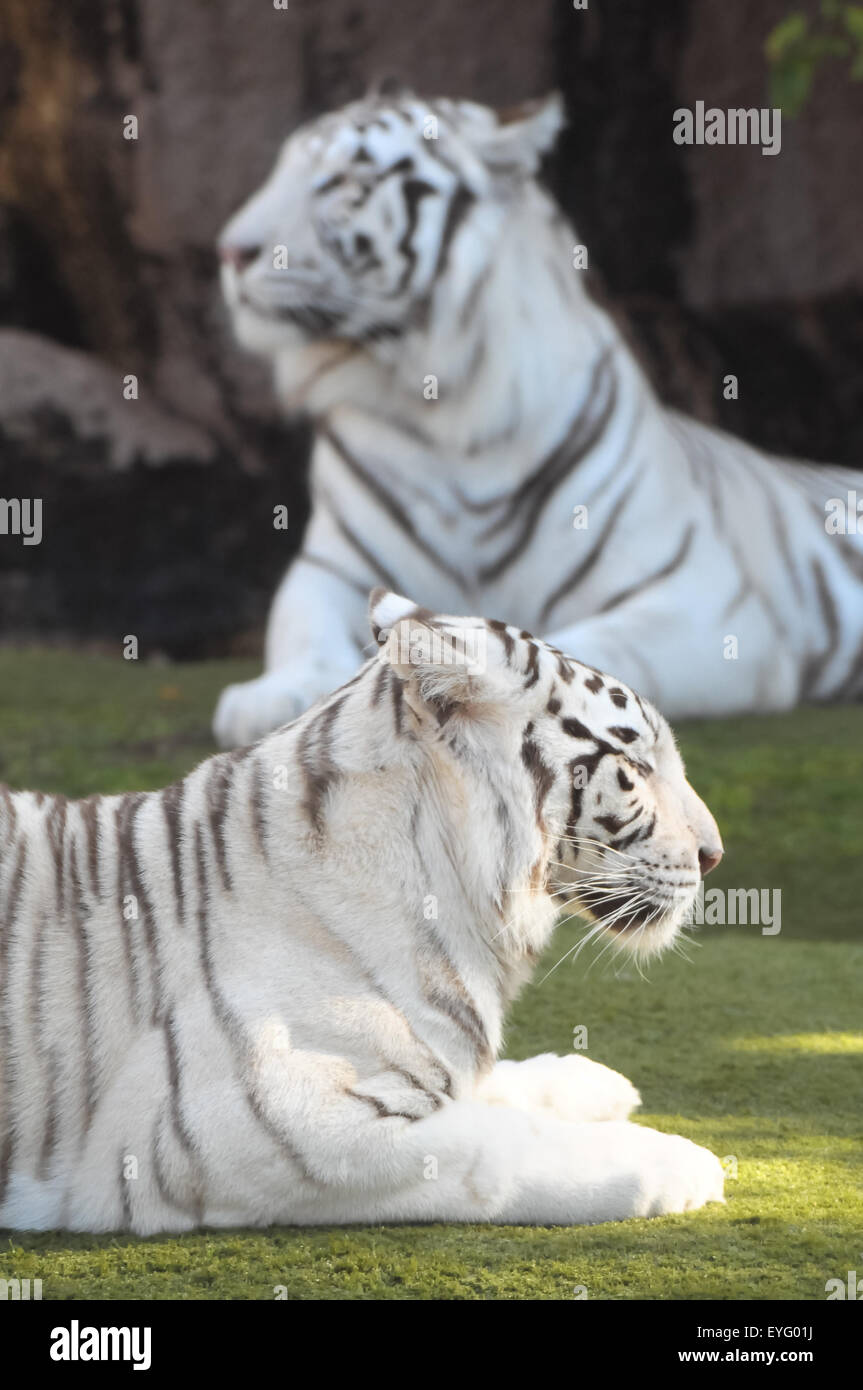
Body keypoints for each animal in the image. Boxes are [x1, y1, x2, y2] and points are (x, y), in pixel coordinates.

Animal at [0, 593, 725, 1234]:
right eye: (634, 764)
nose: (714, 854)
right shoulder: (258, 1130)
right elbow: (502, 1146)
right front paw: (688, 1161)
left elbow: (490, 1085)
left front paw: (593, 1080)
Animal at [213, 90, 863, 749]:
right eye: (281, 170)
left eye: (346, 181)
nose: (229, 252)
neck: (443, 409)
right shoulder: (333, 570)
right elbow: (302, 631)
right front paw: (273, 697)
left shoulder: (703, 599)